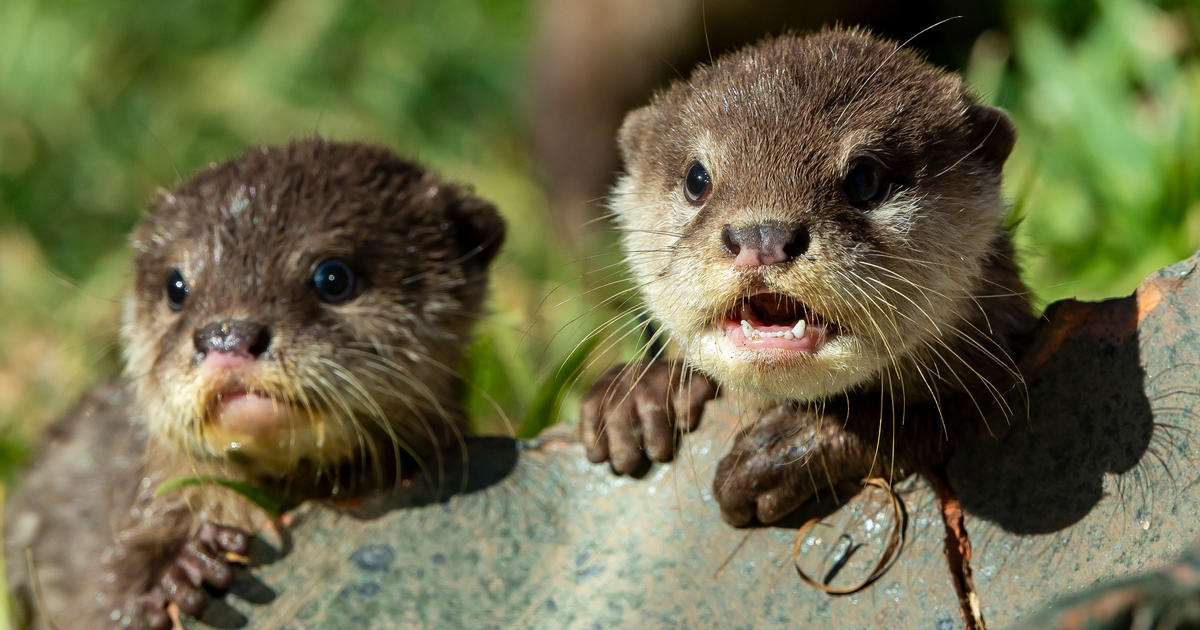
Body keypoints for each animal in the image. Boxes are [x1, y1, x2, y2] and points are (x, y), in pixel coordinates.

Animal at [580, 29, 1036, 526]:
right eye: (696, 179)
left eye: (864, 178)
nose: (762, 236)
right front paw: (637, 397)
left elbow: (930, 418)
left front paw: (781, 452)